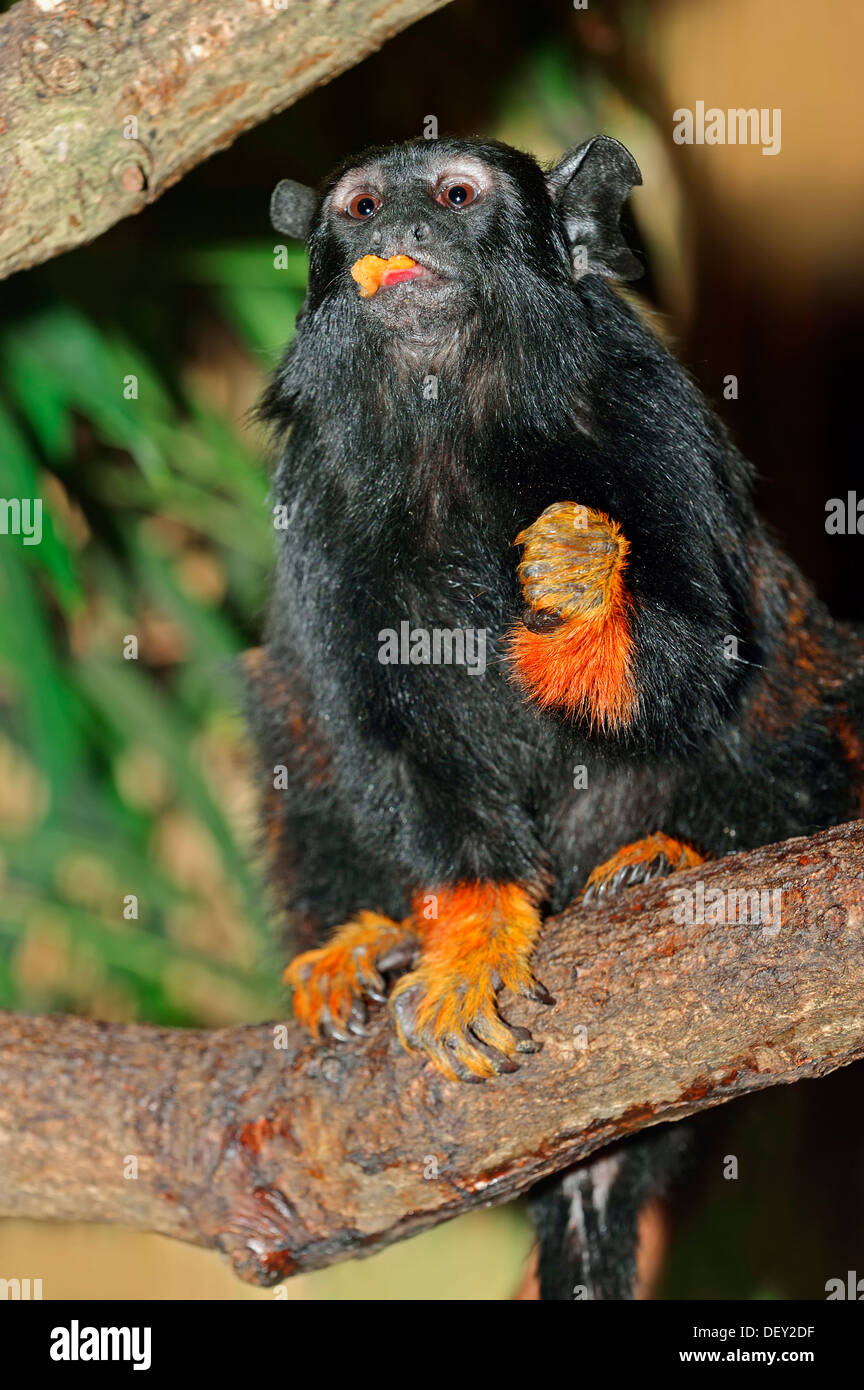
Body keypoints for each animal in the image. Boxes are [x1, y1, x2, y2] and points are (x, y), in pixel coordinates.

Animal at [248, 135, 864, 1299]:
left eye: (455, 196)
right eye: (361, 208)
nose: (404, 234)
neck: (449, 415)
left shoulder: (643, 420)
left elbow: (703, 656)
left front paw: (580, 589)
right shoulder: (318, 495)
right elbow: (388, 732)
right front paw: (470, 926)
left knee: (790, 686)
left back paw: (669, 857)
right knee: (287, 709)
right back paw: (371, 938)